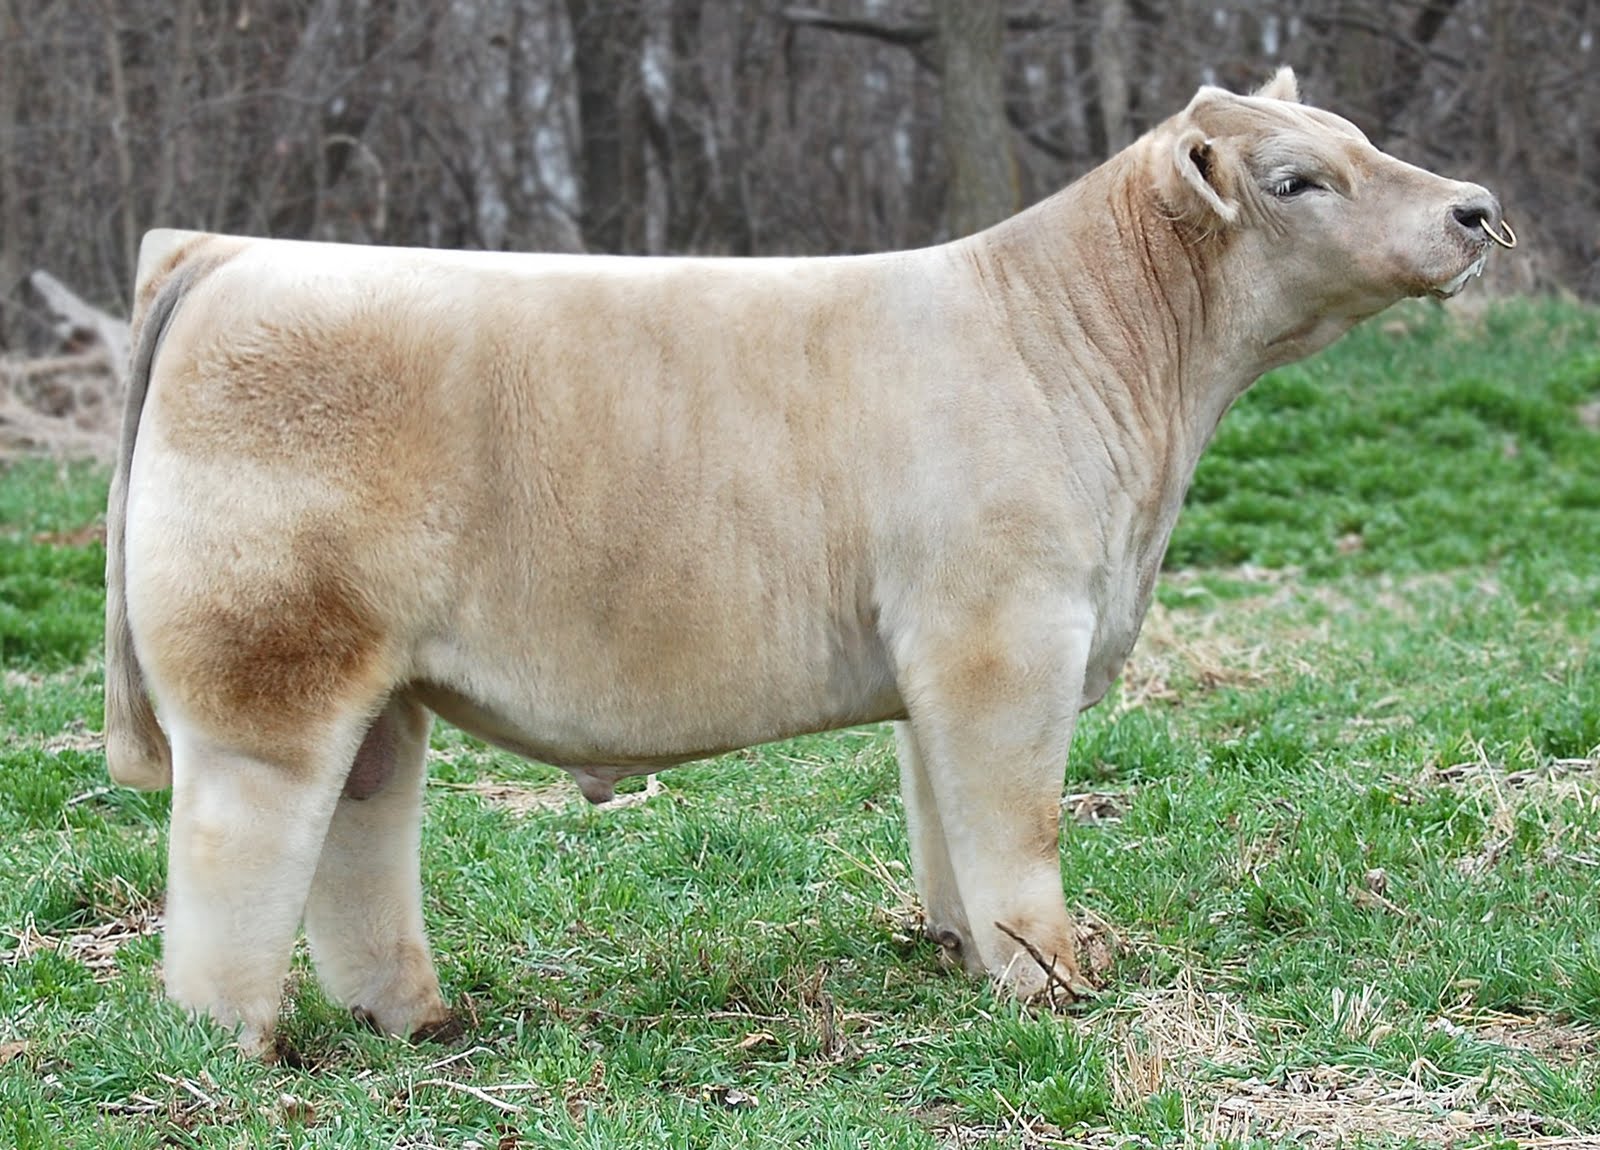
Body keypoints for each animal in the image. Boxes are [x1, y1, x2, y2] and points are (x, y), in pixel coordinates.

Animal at [103, 68, 1509, 1056]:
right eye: (1296, 179)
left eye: (1361, 137)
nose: (1476, 209)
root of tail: (228, 252)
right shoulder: (1008, 632)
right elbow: (1019, 816)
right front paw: (1055, 974)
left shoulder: (943, 653)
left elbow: (945, 813)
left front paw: (965, 951)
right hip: (271, 664)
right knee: (242, 837)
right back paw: (232, 1046)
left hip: (382, 680)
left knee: (359, 826)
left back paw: (415, 1018)